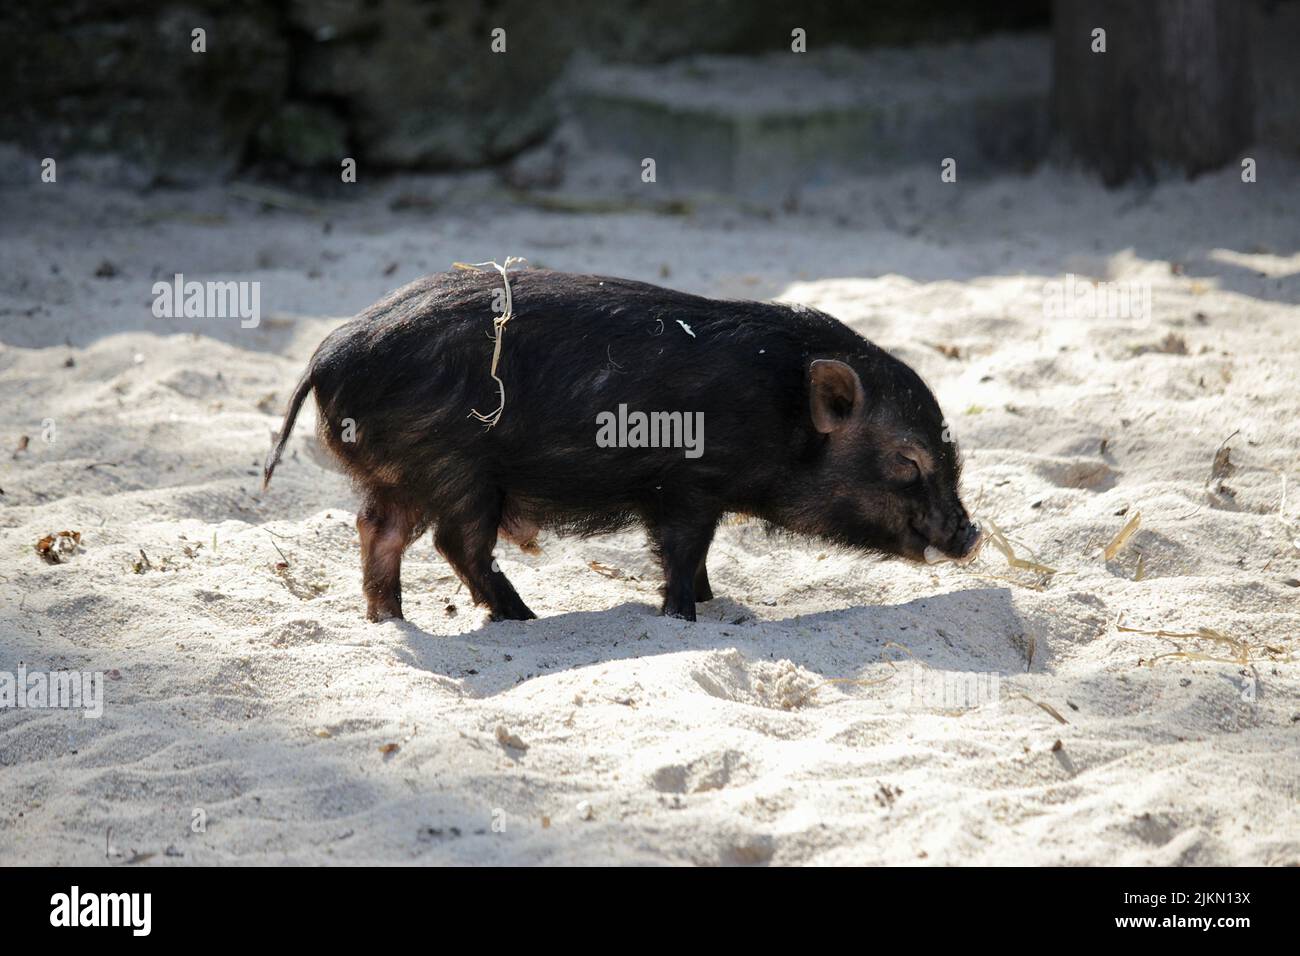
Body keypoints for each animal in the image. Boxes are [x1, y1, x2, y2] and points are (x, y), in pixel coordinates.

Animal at [263, 269, 980, 623]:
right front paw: (685, 616)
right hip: (456, 471)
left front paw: (713, 602)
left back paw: (388, 619)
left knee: (377, 530)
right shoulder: (687, 485)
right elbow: (681, 550)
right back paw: (521, 617)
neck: (778, 412)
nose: (971, 536)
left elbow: (701, 554)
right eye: (909, 460)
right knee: (455, 545)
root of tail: (324, 357)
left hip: (401, 476)